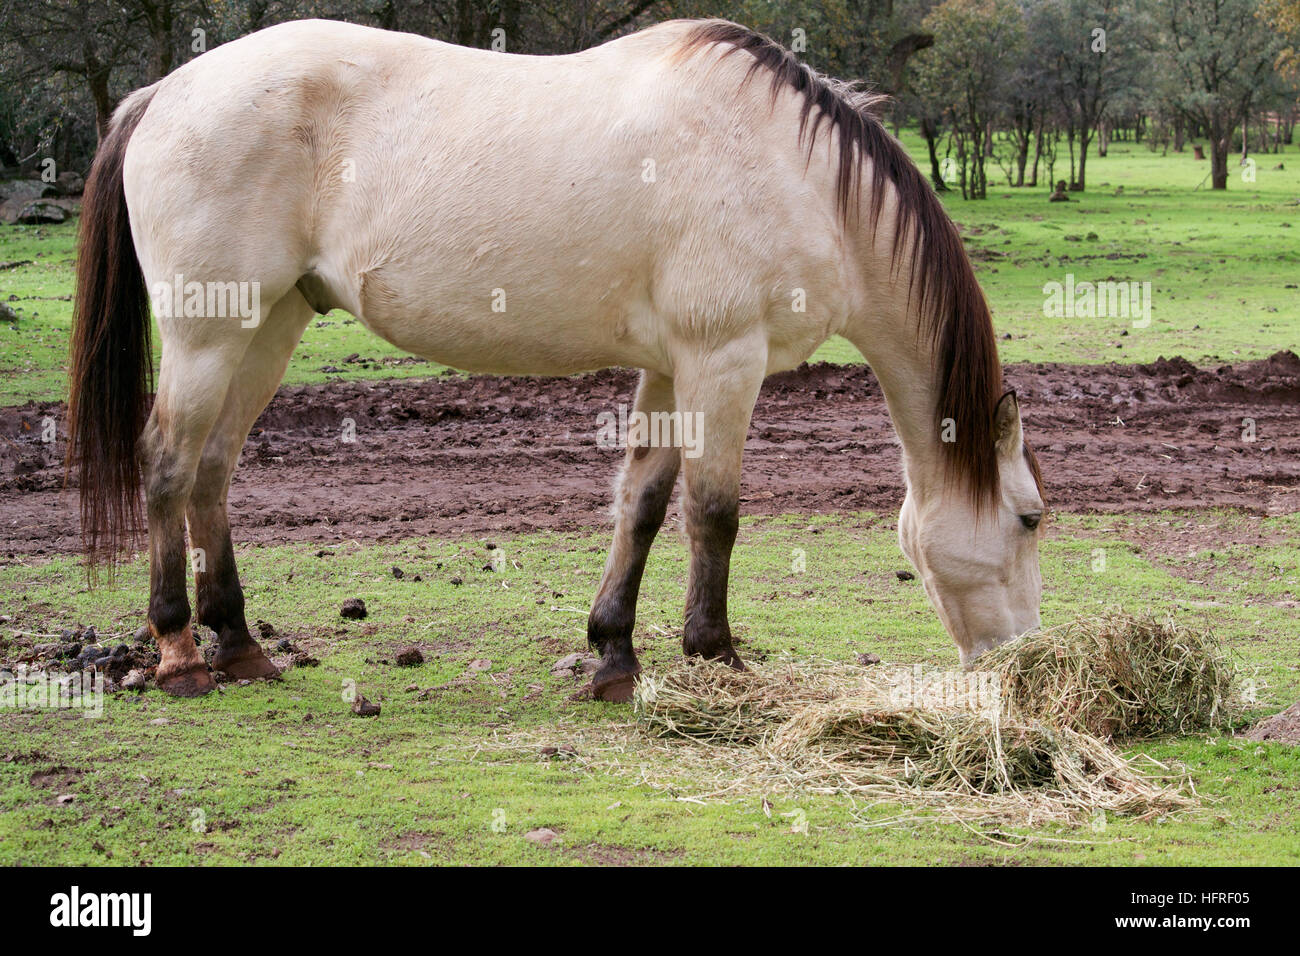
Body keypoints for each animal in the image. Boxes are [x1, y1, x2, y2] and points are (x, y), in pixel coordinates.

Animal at [66, 18, 1046, 702]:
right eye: (1032, 519)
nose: (1023, 660)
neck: (798, 175)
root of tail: (167, 90)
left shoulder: (670, 367)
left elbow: (642, 505)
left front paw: (614, 653)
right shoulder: (724, 360)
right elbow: (714, 513)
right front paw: (716, 656)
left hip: (268, 325)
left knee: (212, 469)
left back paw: (239, 645)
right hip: (208, 334)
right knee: (166, 463)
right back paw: (181, 653)